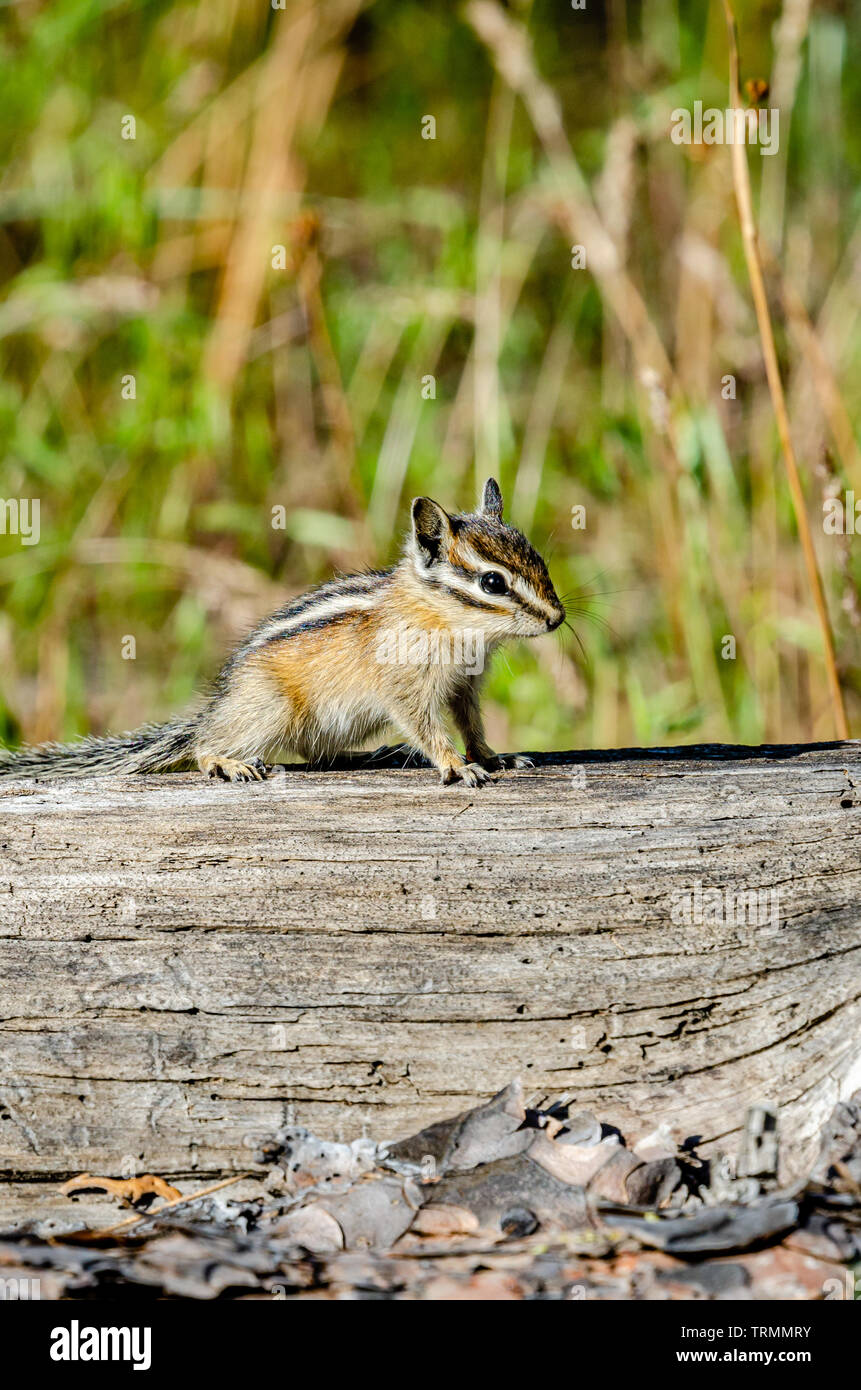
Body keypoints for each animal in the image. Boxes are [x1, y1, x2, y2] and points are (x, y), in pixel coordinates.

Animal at [0, 478, 565, 788]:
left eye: (538, 558)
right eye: (492, 582)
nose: (556, 619)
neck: (446, 620)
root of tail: (218, 706)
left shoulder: (465, 684)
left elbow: (471, 722)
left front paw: (493, 756)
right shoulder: (407, 685)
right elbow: (425, 725)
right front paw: (454, 765)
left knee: (316, 752)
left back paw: (370, 754)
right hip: (268, 708)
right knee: (207, 745)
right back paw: (226, 762)